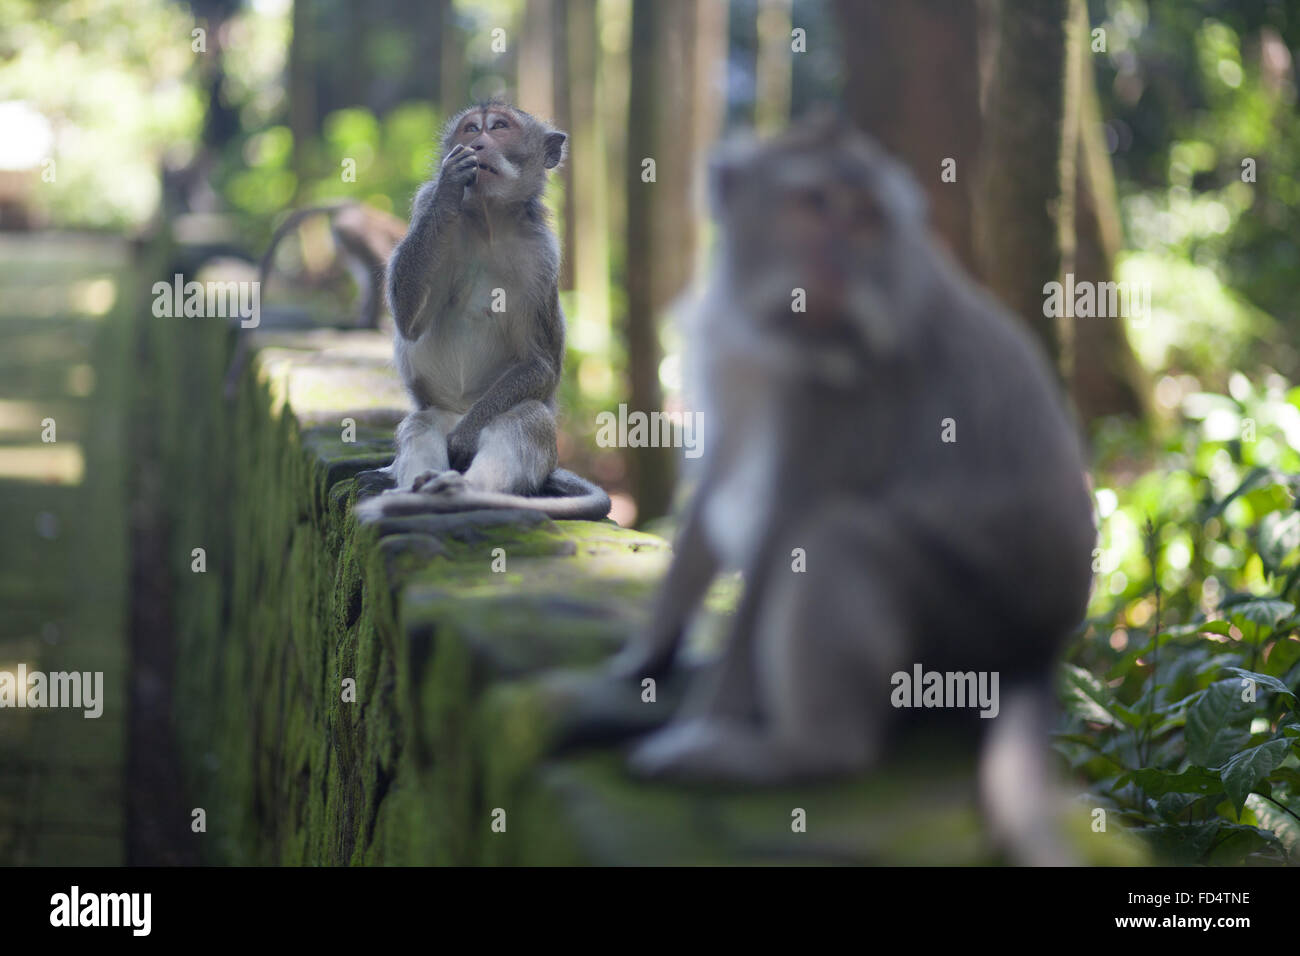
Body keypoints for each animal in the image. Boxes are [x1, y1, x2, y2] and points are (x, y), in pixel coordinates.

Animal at [353, 102, 610, 522]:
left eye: (500, 127)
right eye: (471, 128)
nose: (477, 143)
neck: (489, 221)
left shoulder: (544, 254)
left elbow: (540, 363)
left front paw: (466, 438)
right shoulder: (424, 205)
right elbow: (409, 321)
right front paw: (449, 187)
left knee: (526, 419)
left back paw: (461, 487)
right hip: (440, 411)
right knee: (422, 424)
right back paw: (420, 489)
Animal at [607, 115, 1096, 865]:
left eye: (865, 219)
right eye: (813, 205)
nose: (835, 270)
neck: (778, 340)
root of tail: (1035, 652)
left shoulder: (843, 401)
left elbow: (787, 529)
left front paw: (712, 715)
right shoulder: (732, 355)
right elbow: (714, 484)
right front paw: (646, 651)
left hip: (964, 633)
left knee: (839, 538)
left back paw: (798, 751)